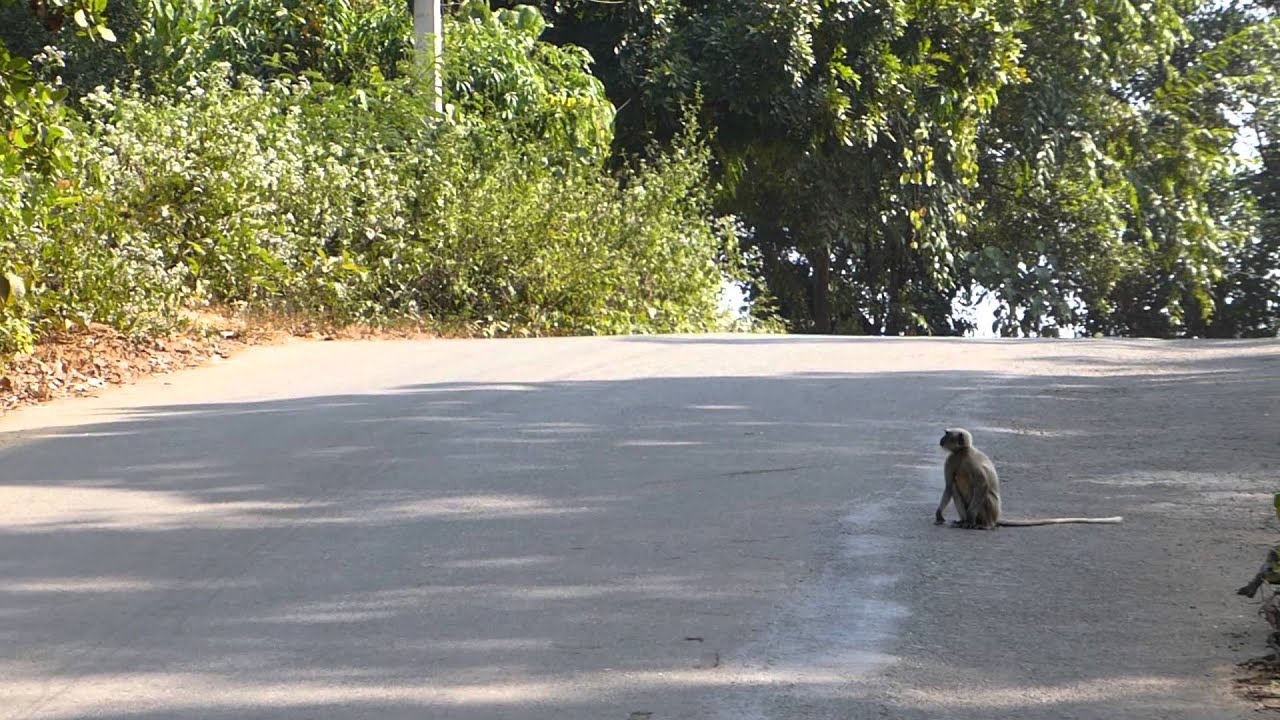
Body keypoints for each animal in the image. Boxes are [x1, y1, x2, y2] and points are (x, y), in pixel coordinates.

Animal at [936, 428, 1123, 529]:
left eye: (947, 434)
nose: (941, 440)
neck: (962, 452)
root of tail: (995, 518)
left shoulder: (971, 461)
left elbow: (983, 485)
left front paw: (970, 515)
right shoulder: (952, 459)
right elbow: (948, 486)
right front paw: (939, 514)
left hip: (991, 510)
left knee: (985, 493)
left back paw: (983, 524)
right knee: (954, 487)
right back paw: (962, 521)